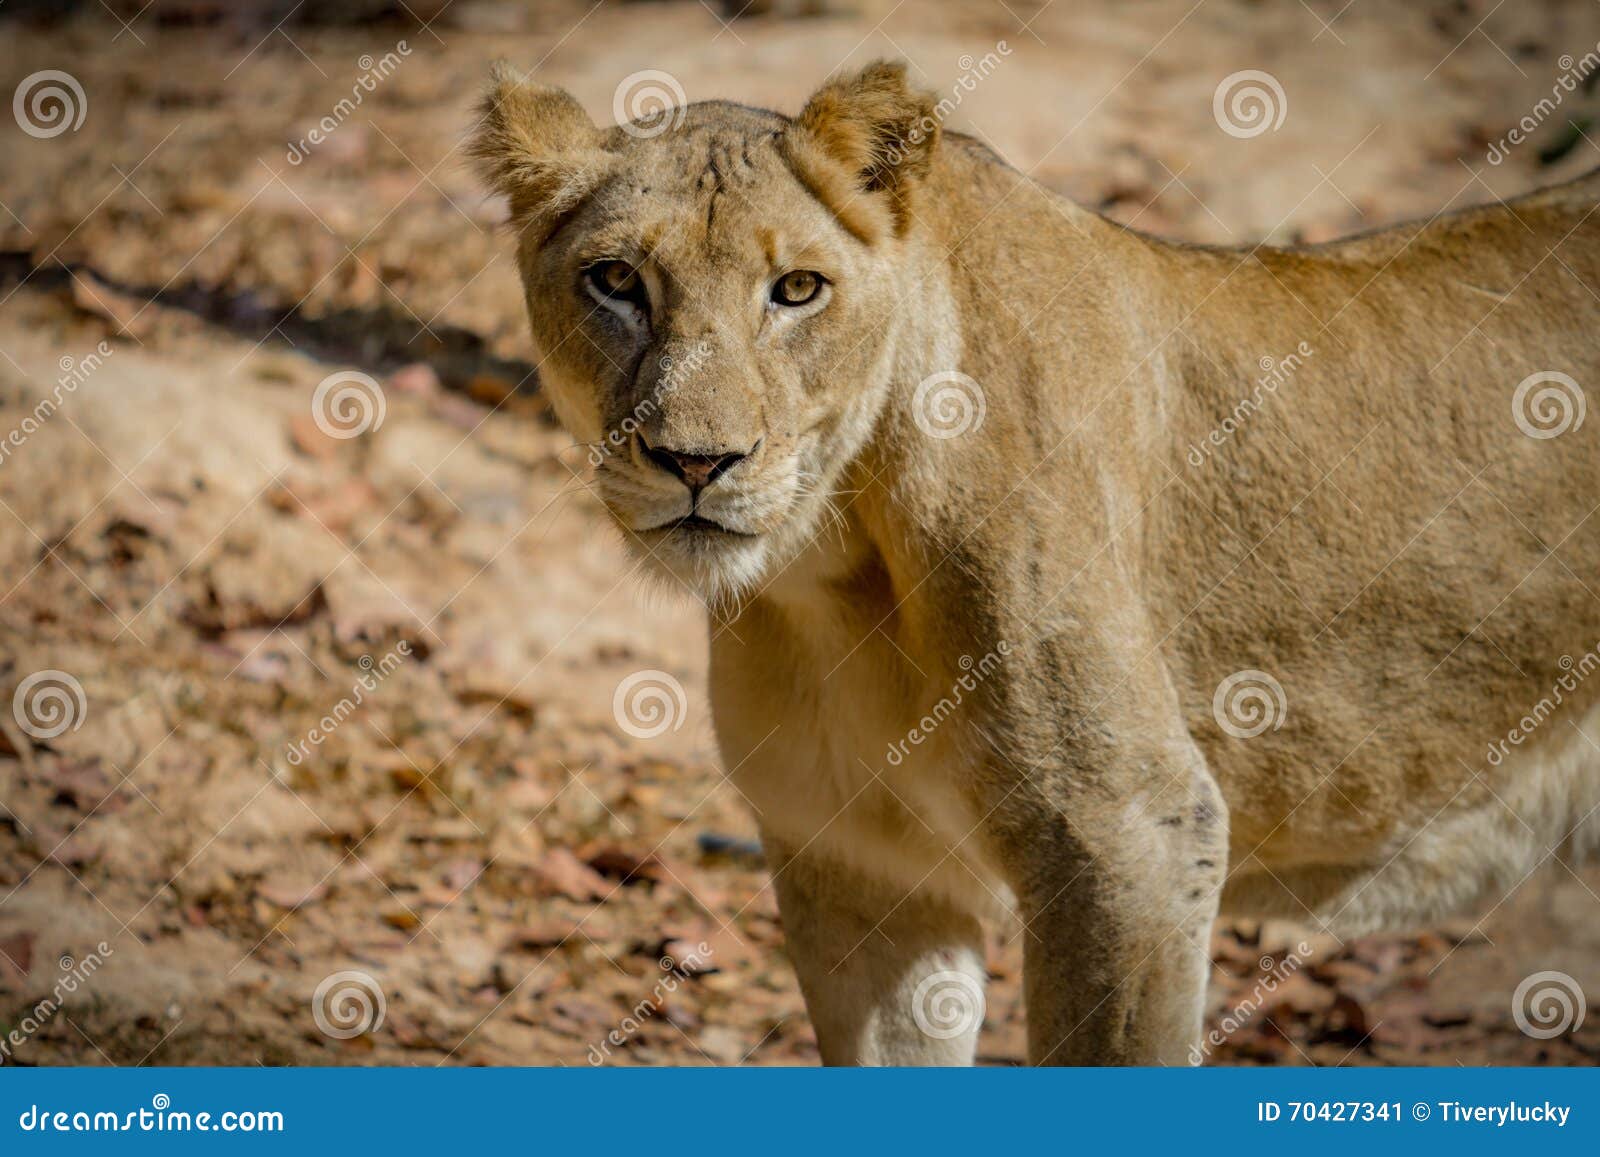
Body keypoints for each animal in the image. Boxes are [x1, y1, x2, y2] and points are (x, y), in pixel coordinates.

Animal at [471, 60, 1600, 1065]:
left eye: (796, 289)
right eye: (616, 281)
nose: (696, 461)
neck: (827, 574)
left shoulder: (1129, 841)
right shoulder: (864, 867)